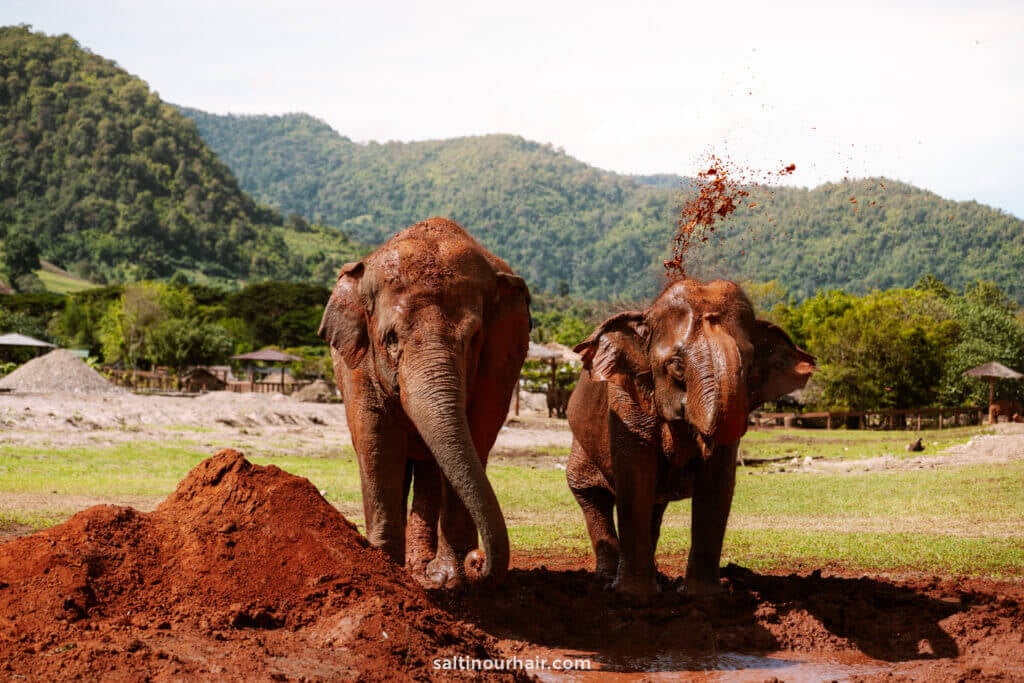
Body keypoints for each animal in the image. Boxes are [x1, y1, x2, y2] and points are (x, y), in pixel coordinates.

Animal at [318, 217, 531, 587]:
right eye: (390, 339)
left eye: (473, 338)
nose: (478, 561)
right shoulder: (356, 363)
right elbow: (377, 439)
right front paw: (384, 571)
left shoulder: (500, 364)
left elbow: (477, 433)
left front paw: (452, 580)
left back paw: (427, 572)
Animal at [566, 278, 816, 597]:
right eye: (676, 365)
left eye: (749, 365)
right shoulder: (625, 403)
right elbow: (635, 481)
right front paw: (634, 595)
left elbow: (717, 483)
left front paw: (702, 595)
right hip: (581, 446)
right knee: (590, 493)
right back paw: (607, 578)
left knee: (654, 507)